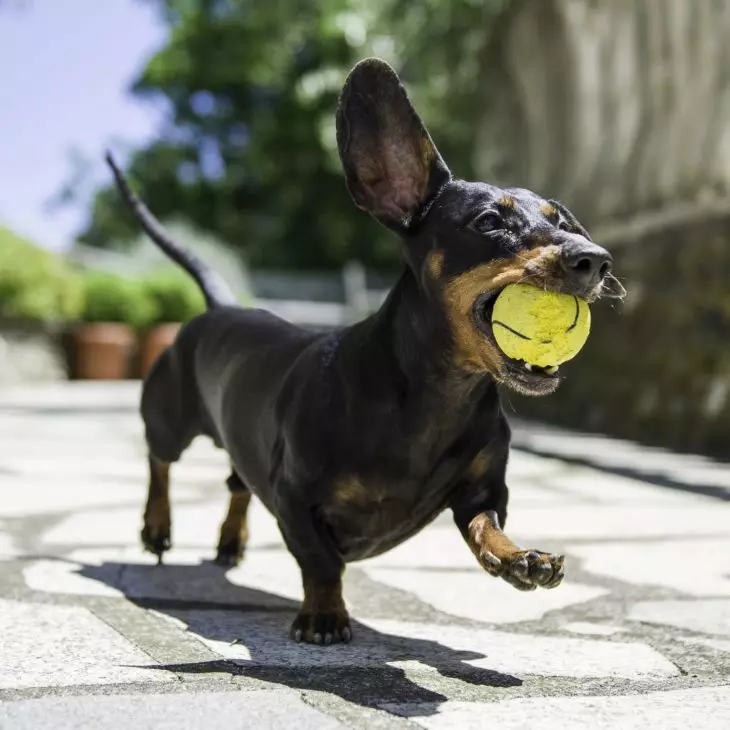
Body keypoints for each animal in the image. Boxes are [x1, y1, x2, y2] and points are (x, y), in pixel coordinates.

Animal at [105, 59, 612, 644]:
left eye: (563, 222)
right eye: (489, 221)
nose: (596, 260)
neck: (436, 398)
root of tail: (221, 306)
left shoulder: (484, 490)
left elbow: (486, 525)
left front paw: (520, 559)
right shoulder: (294, 496)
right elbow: (322, 563)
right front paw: (324, 616)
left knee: (235, 483)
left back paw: (230, 541)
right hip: (169, 418)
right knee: (160, 462)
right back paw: (157, 527)